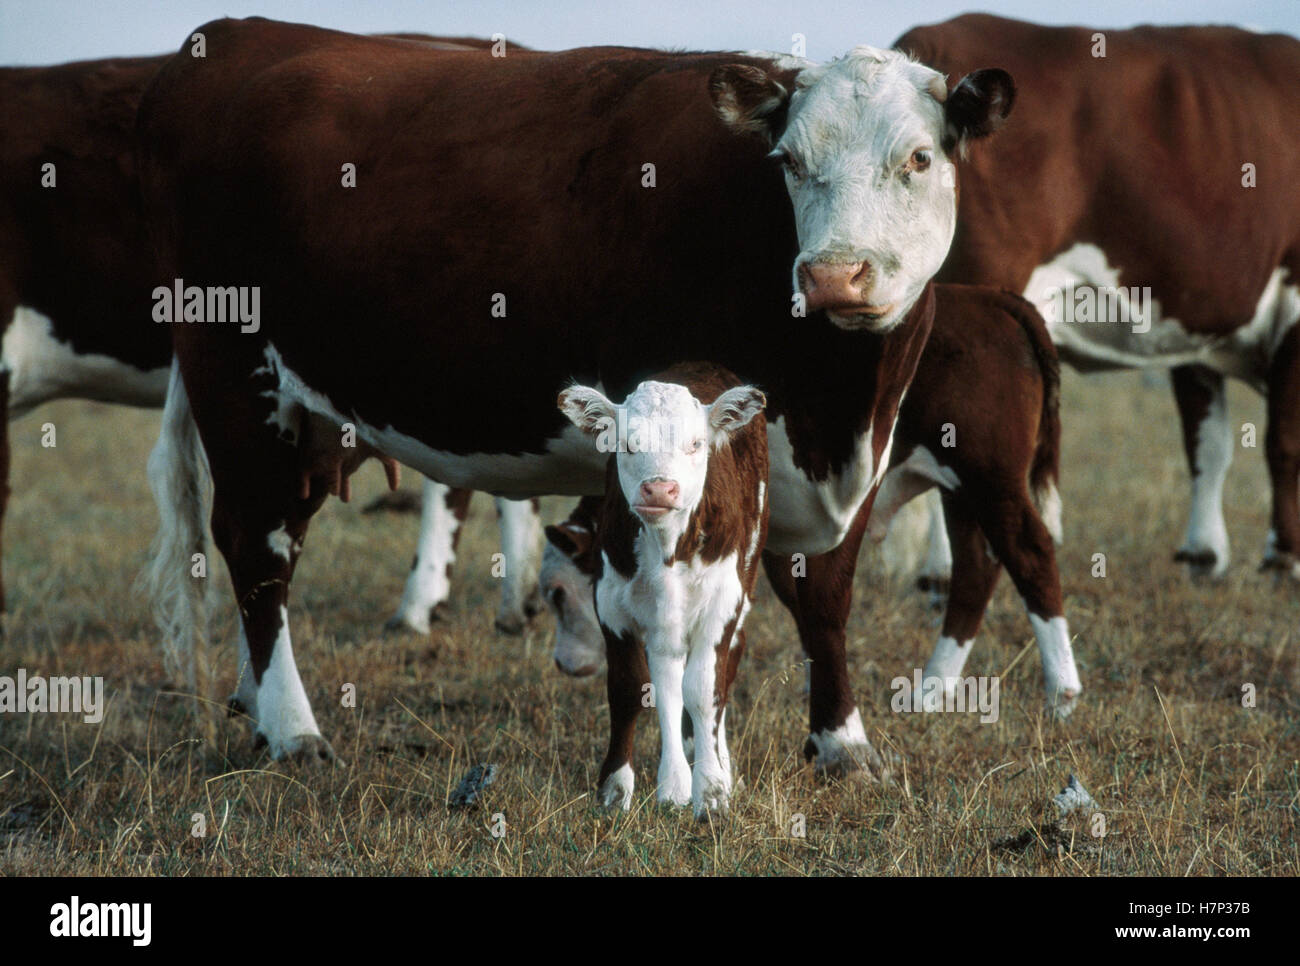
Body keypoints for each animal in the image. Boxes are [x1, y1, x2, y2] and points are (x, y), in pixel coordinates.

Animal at [138, 18, 1014, 766]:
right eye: (790, 162)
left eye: (919, 159)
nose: (833, 275)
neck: (837, 399)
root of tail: (240, 34)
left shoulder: (851, 462)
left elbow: (824, 599)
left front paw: (842, 742)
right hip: (235, 375)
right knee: (257, 547)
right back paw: (293, 728)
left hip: (306, 415)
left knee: (276, 541)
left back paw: (256, 706)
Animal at [542, 286, 1082, 715]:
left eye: (559, 594)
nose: (565, 664)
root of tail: (992, 298)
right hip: (963, 490)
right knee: (975, 568)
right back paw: (933, 690)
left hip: (991, 478)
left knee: (1030, 553)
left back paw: (1062, 691)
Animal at [558, 364, 768, 817]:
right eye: (628, 443)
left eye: (695, 444)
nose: (659, 488)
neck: (667, 544)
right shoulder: (611, 603)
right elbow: (630, 688)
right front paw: (617, 787)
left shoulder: (723, 602)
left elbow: (705, 690)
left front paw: (712, 791)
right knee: (669, 679)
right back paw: (674, 783)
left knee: (721, 673)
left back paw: (719, 766)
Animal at [894, 14, 1300, 585]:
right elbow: (1284, 442)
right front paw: (1283, 558)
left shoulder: (1194, 315)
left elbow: (1208, 442)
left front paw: (1203, 553)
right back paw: (942, 570)